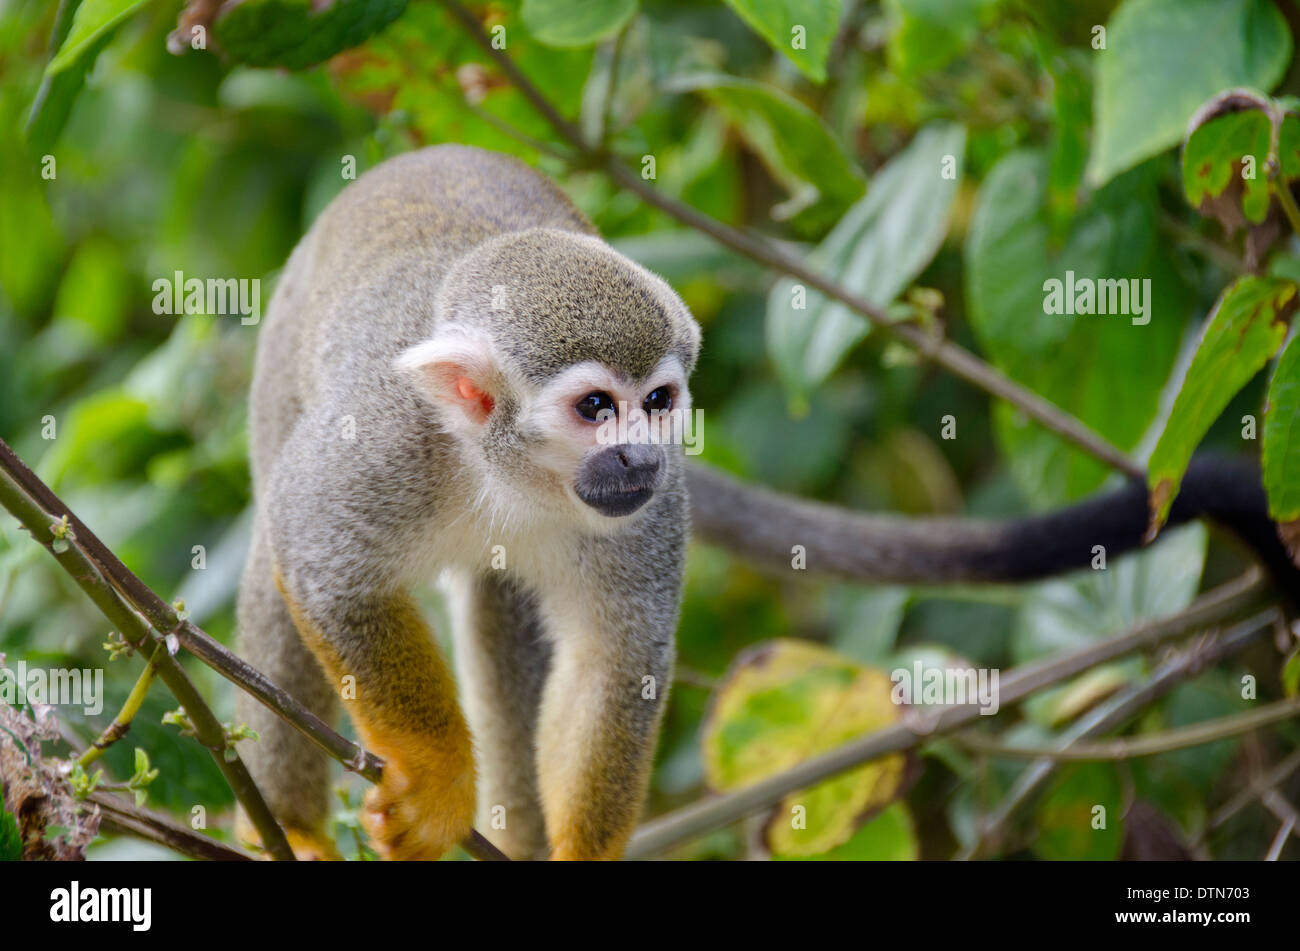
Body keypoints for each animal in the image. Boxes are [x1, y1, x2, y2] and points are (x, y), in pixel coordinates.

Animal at [235, 143, 1297, 862]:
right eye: (594, 407)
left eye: (659, 399)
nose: (641, 452)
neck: (507, 469)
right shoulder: (381, 443)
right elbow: (322, 567)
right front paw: (436, 778)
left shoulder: (652, 507)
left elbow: (614, 657)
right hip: (282, 365)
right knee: (270, 552)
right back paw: (292, 827)